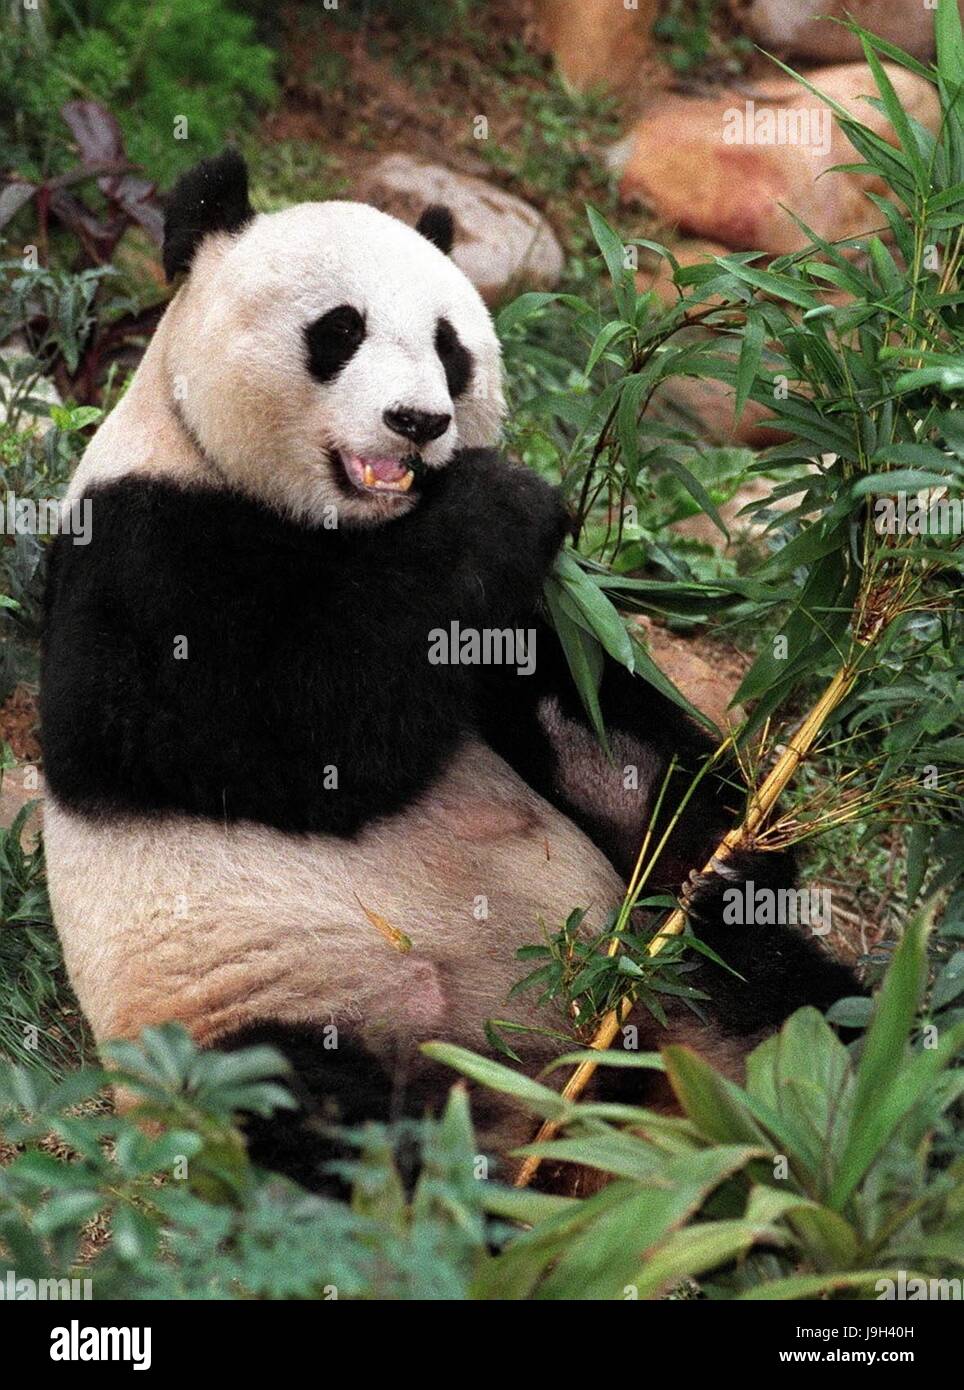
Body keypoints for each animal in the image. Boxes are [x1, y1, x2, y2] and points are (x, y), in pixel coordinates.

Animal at [40, 151, 857, 1191]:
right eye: (339, 330)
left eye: (449, 346)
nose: (418, 422)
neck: (348, 528)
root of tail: (557, 1089)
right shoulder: (140, 545)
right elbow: (279, 732)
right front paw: (500, 497)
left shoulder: (516, 623)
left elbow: (589, 729)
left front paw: (733, 841)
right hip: (249, 1008)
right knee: (303, 1119)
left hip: (658, 978)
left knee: (784, 999)